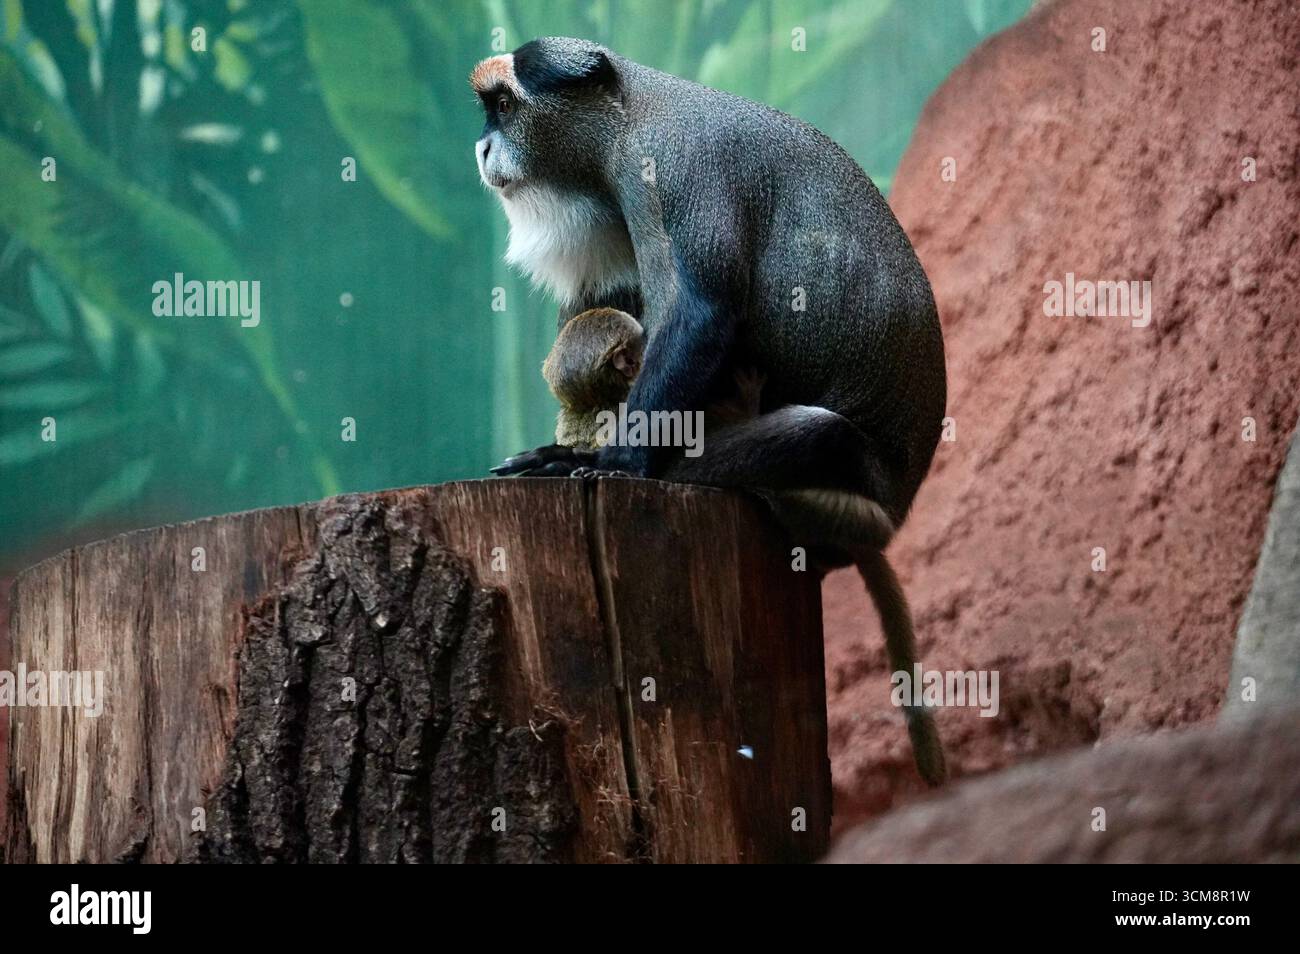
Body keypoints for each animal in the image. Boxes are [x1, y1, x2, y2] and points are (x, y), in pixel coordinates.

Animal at [474, 38, 948, 785]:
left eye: (503, 105)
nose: (483, 146)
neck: (625, 112)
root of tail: (891, 514)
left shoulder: (663, 178)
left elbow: (698, 310)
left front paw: (615, 464)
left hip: (848, 494)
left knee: (815, 432)